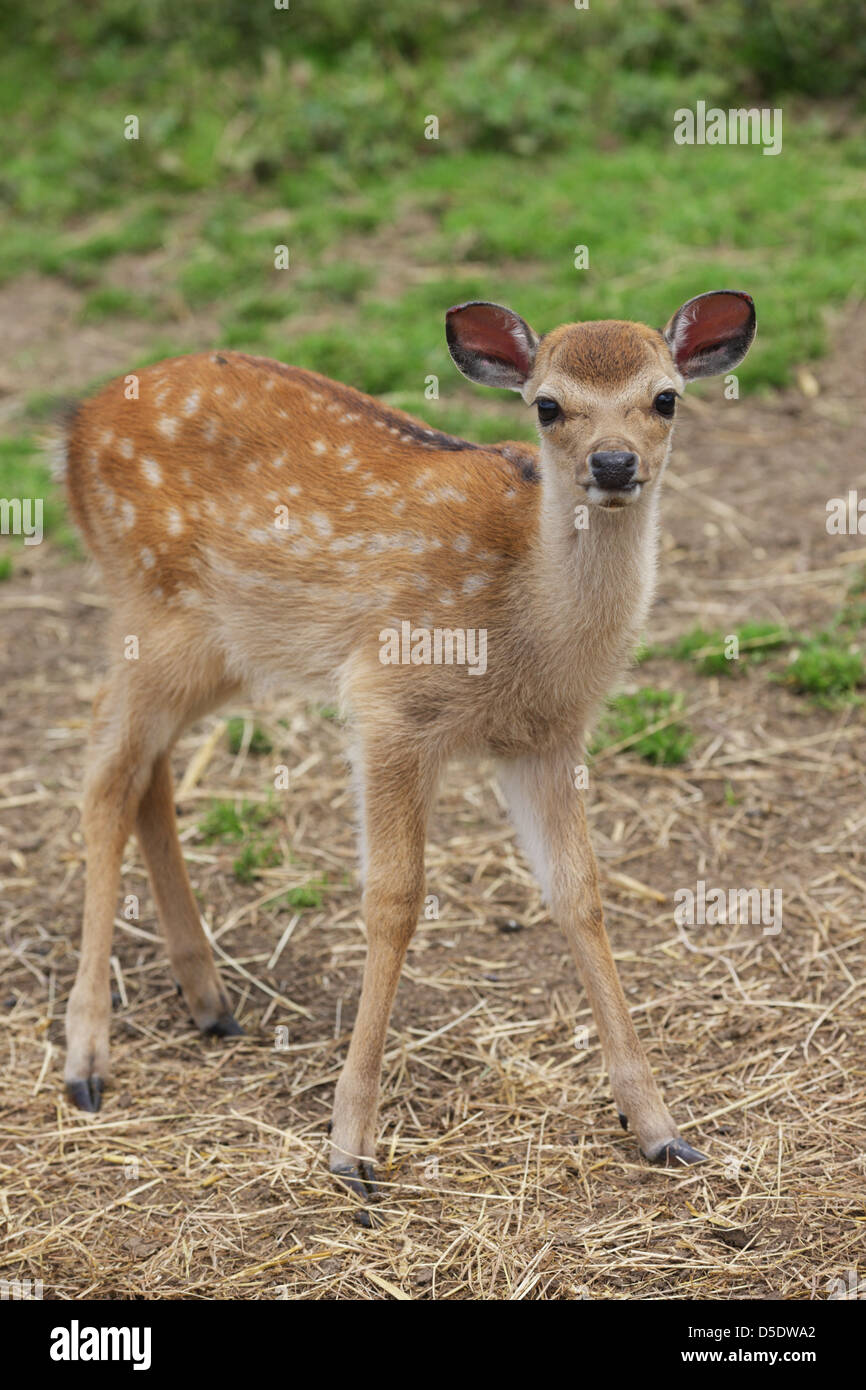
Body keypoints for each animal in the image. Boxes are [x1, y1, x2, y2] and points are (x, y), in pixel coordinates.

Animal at [58, 289, 756, 1203]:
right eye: (548, 405)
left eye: (666, 397)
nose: (612, 463)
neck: (529, 618)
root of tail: (74, 427)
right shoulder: (387, 700)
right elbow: (393, 901)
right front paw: (351, 1150)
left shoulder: (549, 738)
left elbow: (581, 895)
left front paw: (660, 1129)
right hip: (152, 602)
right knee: (106, 767)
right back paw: (86, 1060)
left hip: (219, 643)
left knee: (149, 768)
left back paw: (210, 1001)